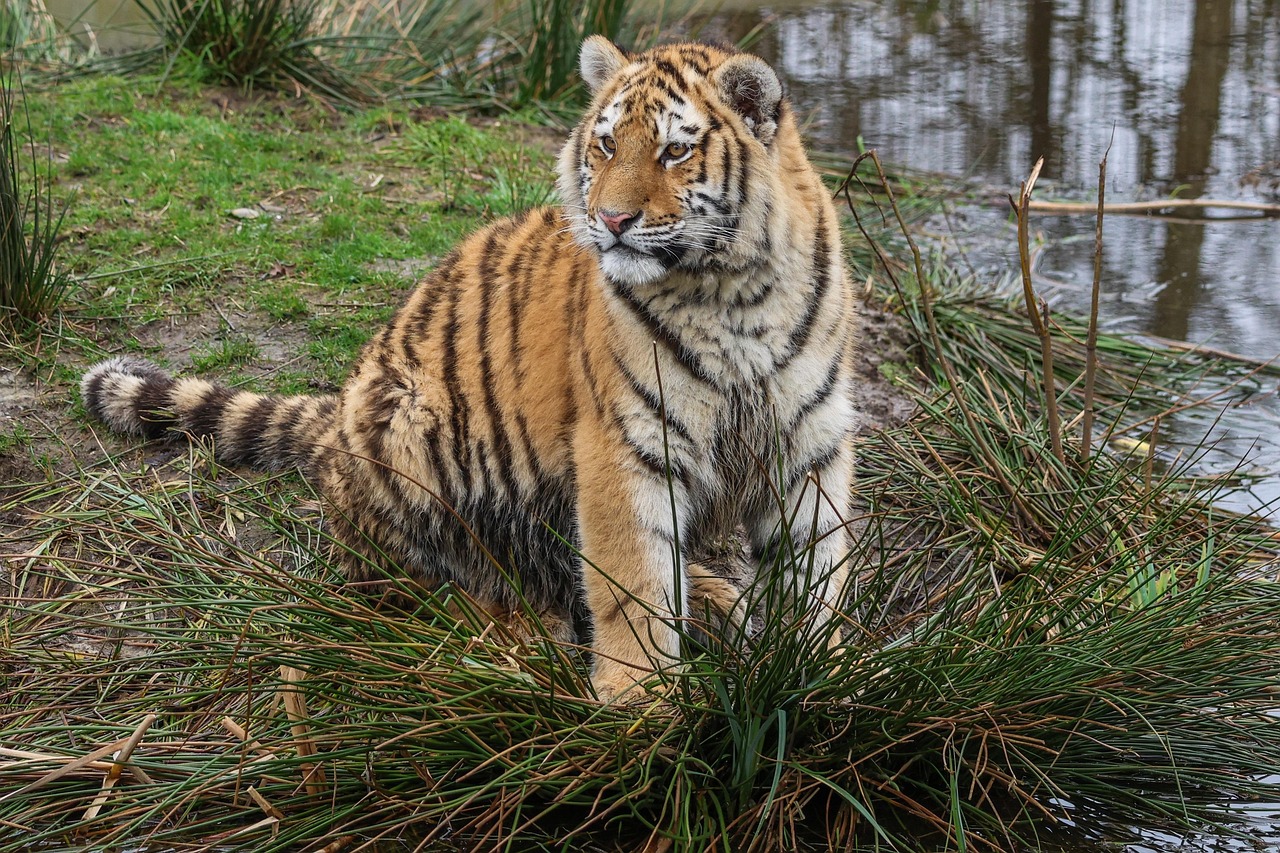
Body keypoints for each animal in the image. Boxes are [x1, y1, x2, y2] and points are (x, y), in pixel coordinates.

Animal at [80, 36, 860, 701]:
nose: (611, 221)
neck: (730, 293)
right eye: (607, 143)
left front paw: (823, 675)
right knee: (412, 584)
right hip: (411, 435)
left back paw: (715, 597)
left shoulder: (810, 439)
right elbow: (631, 587)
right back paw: (512, 629)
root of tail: (336, 421)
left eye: (674, 151)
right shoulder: (626, 445)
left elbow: (818, 572)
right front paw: (641, 708)